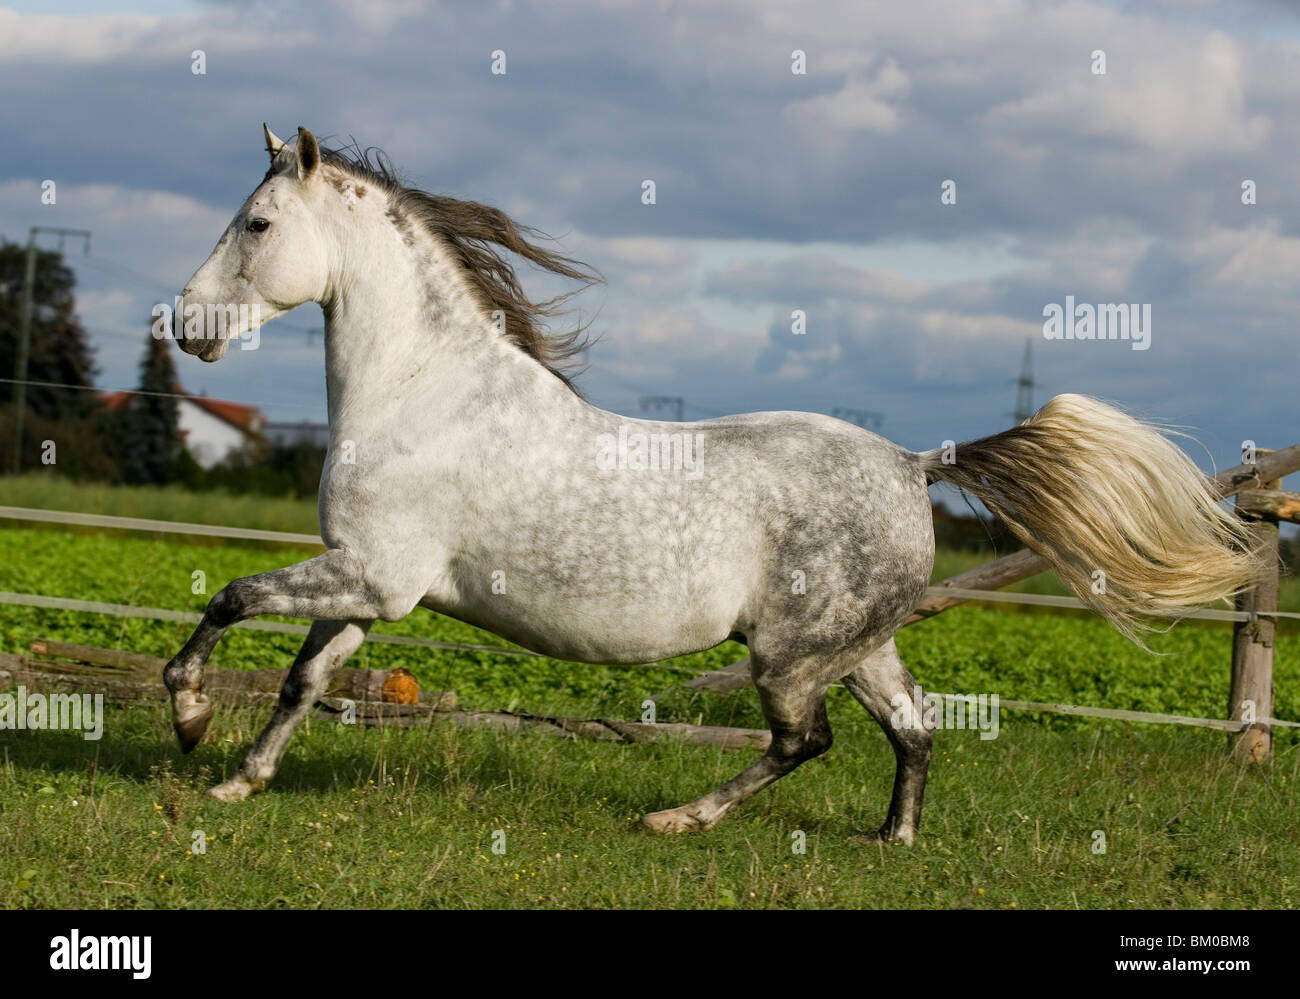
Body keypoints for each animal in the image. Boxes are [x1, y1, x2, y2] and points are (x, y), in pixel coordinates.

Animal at [164, 124, 1259, 843]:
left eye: (256, 224)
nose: (185, 327)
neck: (423, 397)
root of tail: (915, 465)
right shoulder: (371, 584)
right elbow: (305, 677)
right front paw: (237, 784)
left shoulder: (373, 576)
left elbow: (230, 600)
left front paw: (188, 720)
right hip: (857, 645)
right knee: (911, 726)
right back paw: (890, 843)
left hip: (788, 657)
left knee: (805, 741)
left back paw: (677, 817)